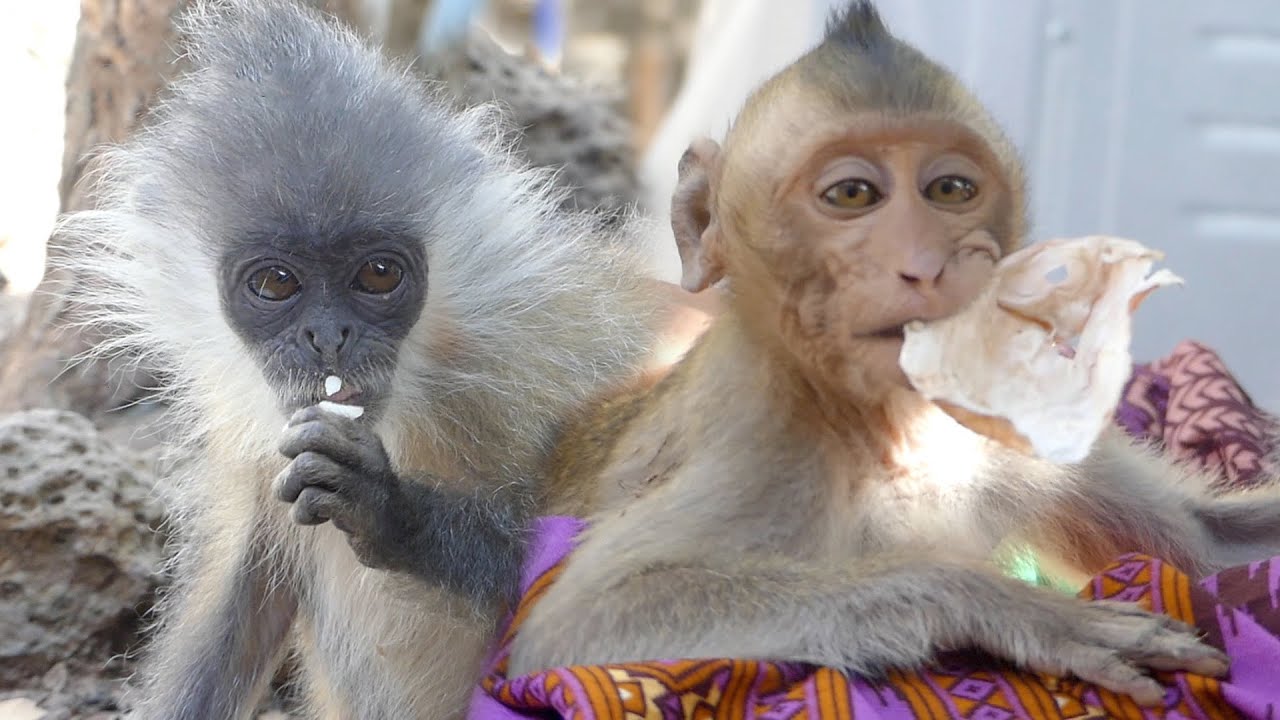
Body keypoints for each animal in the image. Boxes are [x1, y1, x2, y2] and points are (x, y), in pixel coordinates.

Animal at [55, 0, 658, 717]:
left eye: (377, 275)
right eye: (276, 284)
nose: (328, 337)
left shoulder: (550, 354)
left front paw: (390, 512)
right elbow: (244, 595)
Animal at [504, 1, 1280, 707]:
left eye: (950, 190)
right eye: (853, 194)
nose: (924, 265)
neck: (894, 427)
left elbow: (1207, 549)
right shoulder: (755, 431)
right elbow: (580, 622)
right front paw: (1018, 608)